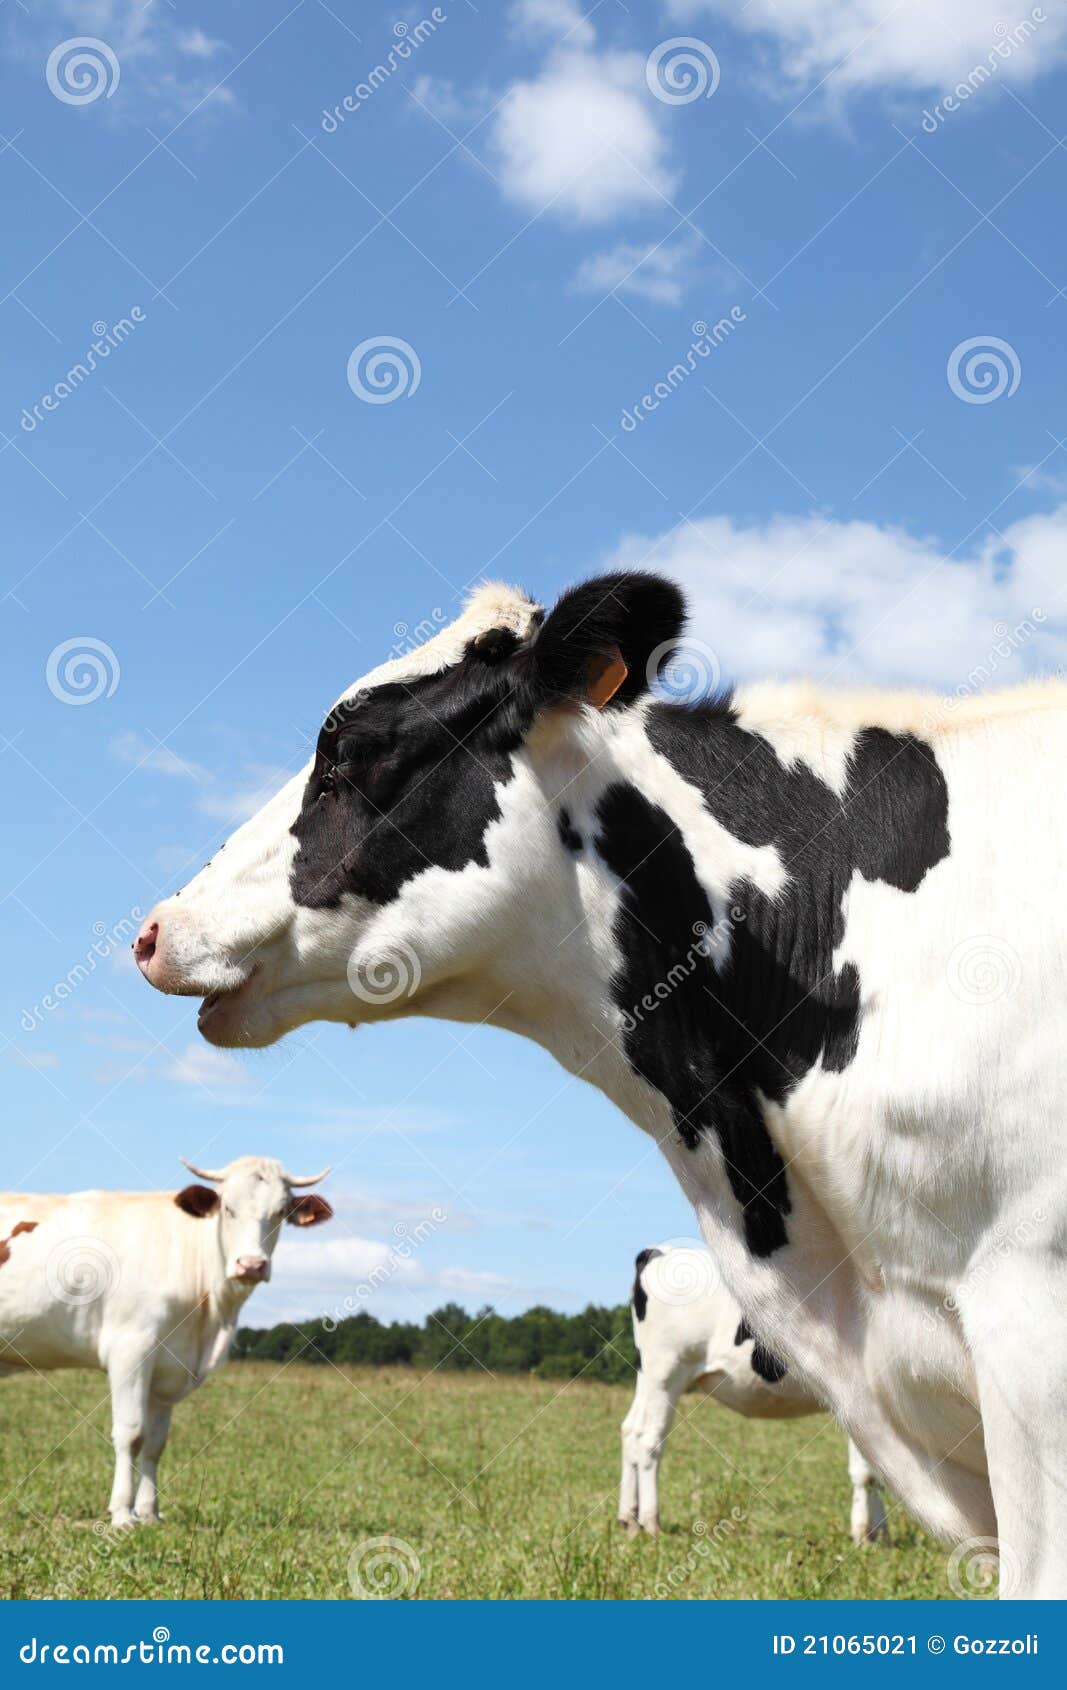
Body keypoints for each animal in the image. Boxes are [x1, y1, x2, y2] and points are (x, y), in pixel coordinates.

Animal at [0, 1157, 332, 1525]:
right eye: (227, 1208)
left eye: (280, 1212)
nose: (251, 1265)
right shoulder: (130, 1349)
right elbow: (131, 1433)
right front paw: (122, 1514)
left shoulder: (167, 1365)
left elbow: (155, 1442)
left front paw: (149, 1513)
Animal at [621, 1246, 888, 1545]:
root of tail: (659, 1250)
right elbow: (867, 1472)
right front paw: (865, 1535)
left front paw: (881, 1533)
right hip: (666, 1372)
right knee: (649, 1440)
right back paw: (650, 1522)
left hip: (647, 1375)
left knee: (631, 1430)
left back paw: (629, 1518)